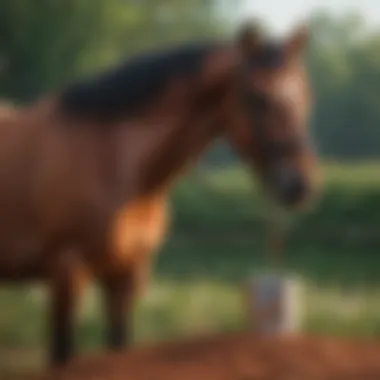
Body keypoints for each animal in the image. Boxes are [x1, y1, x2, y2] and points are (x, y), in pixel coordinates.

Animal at [0, 22, 320, 366]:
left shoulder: (127, 275)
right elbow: (62, 355)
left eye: (305, 94)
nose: (299, 184)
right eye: (257, 97)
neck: (113, 160)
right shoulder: (66, 274)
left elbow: (119, 346)